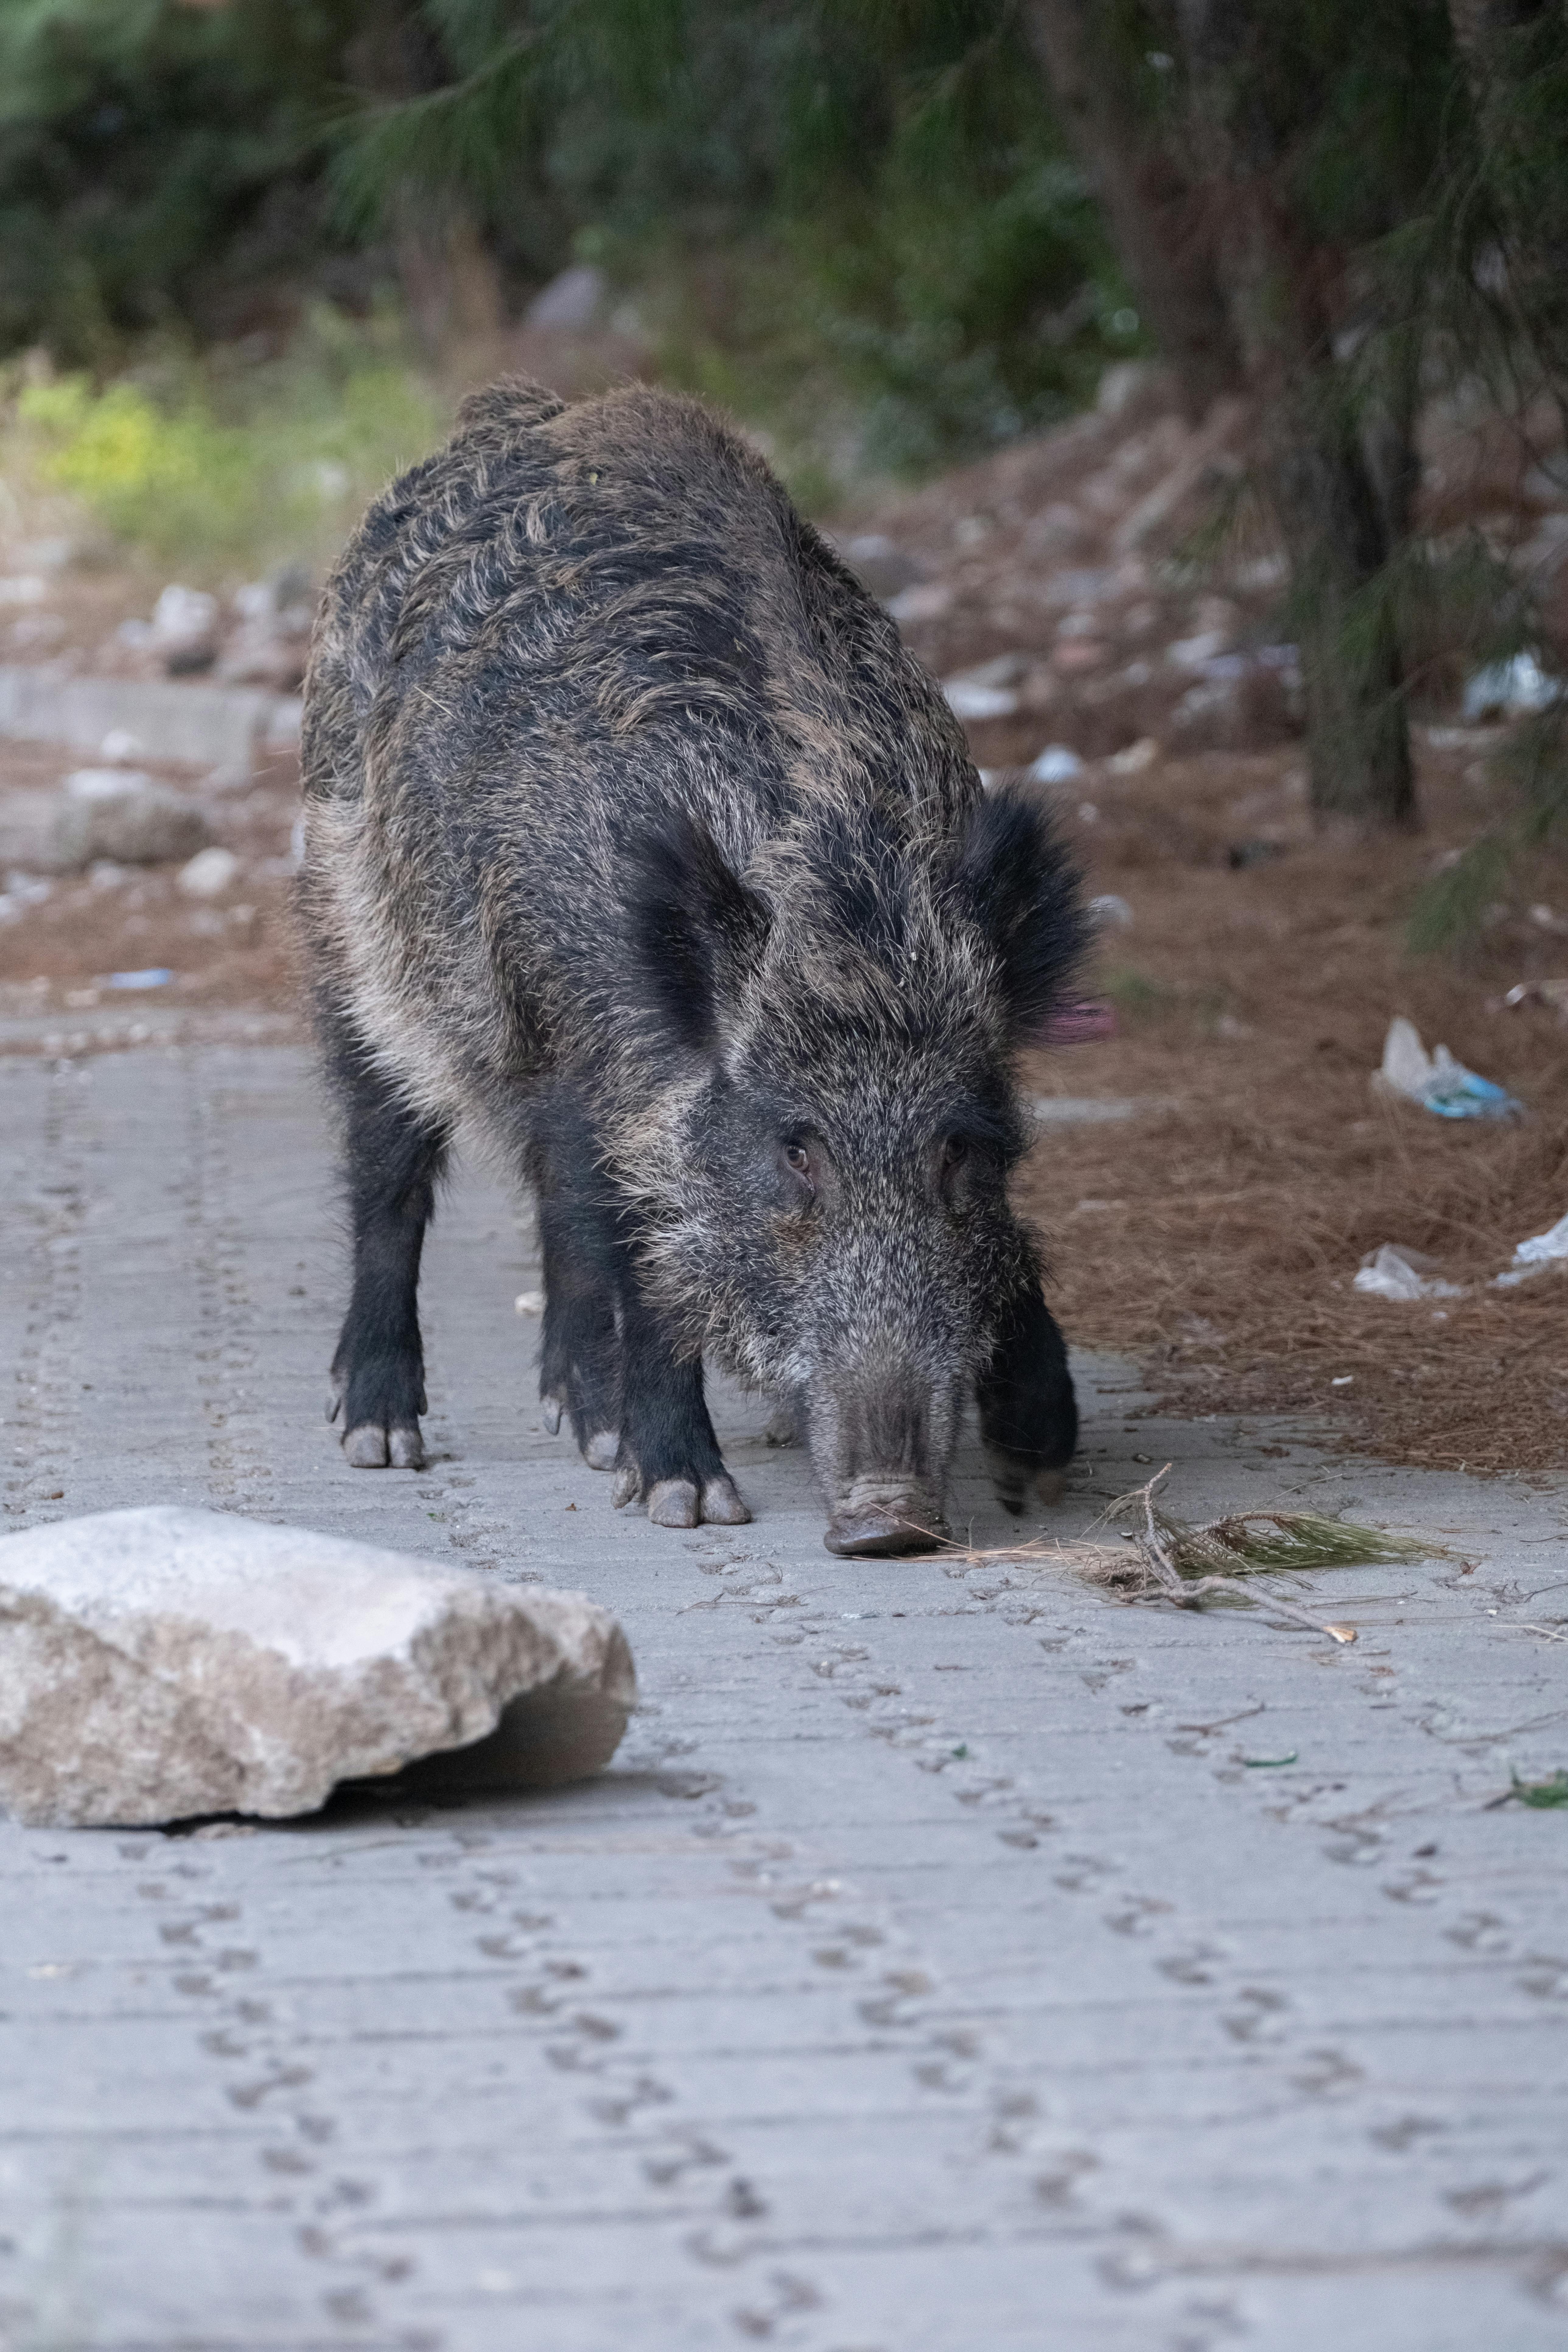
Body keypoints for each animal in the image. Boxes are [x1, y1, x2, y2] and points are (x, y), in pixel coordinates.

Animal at [295, 378, 1087, 1556]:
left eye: (963, 1150)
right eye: (794, 1149)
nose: (891, 1520)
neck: (852, 922)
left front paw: (1039, 1459)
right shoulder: (601, 1047)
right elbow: (648, 1249)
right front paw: (688, 1501)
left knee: (558, 1199)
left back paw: (585, 1426)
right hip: (358, 933)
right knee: (391, 1164)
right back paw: (382, 1433)